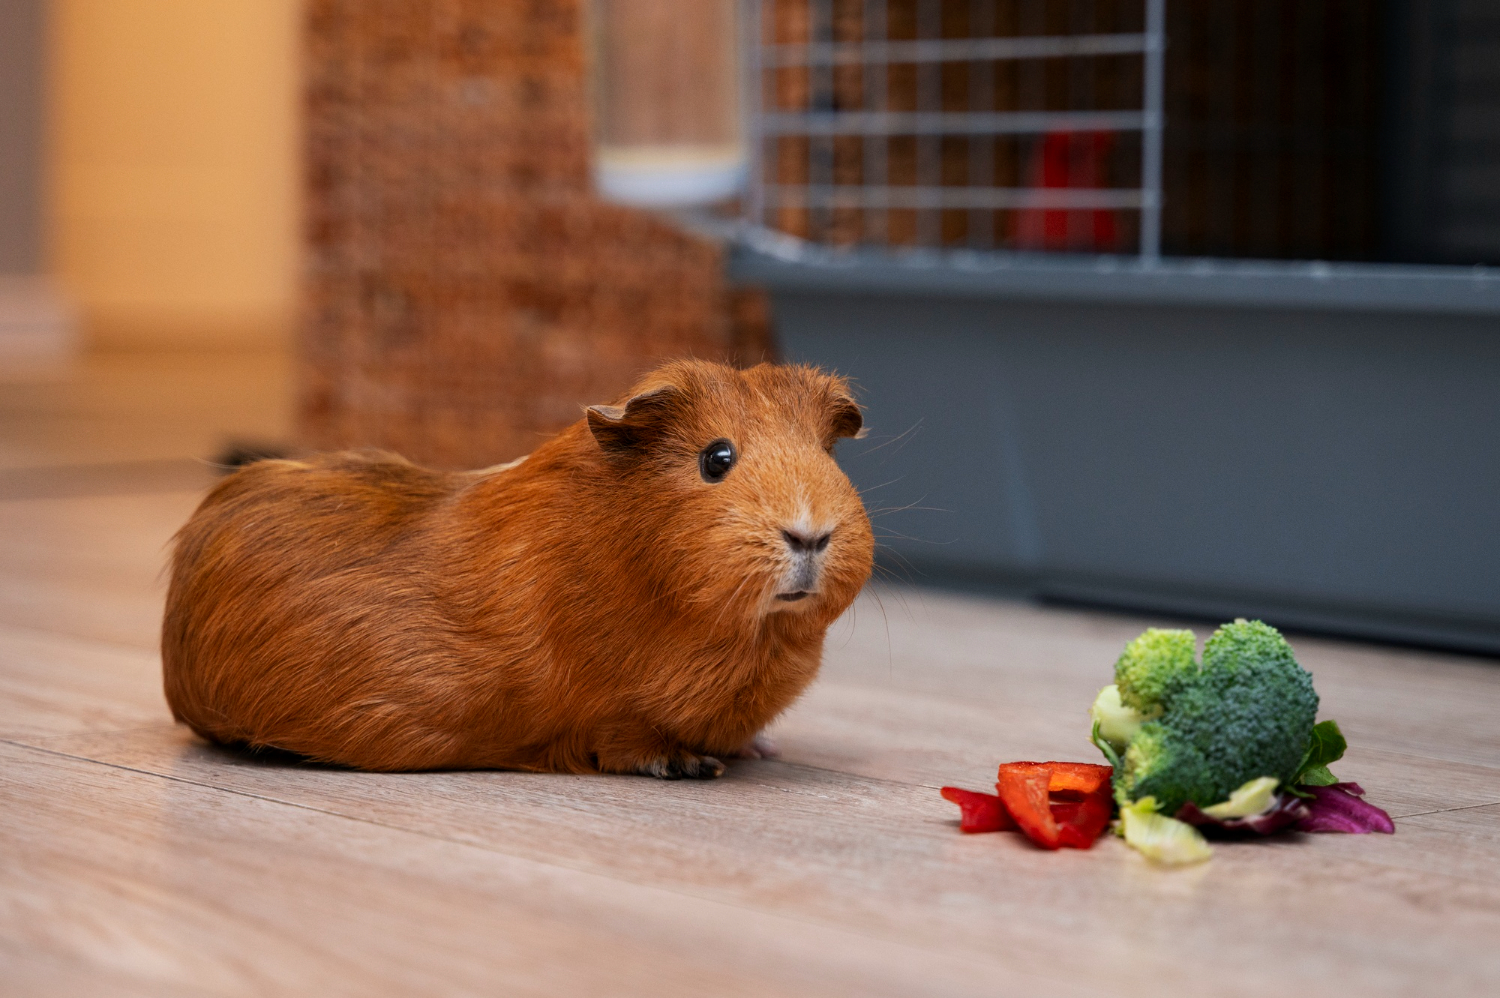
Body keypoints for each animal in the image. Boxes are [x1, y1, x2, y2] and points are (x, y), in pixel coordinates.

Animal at [161, 360, 874, 777]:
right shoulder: (611, 716)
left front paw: (759, 748)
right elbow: (631, 743)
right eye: (716, 458)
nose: (810, 532)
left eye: (825, 454)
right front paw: (693, 765)